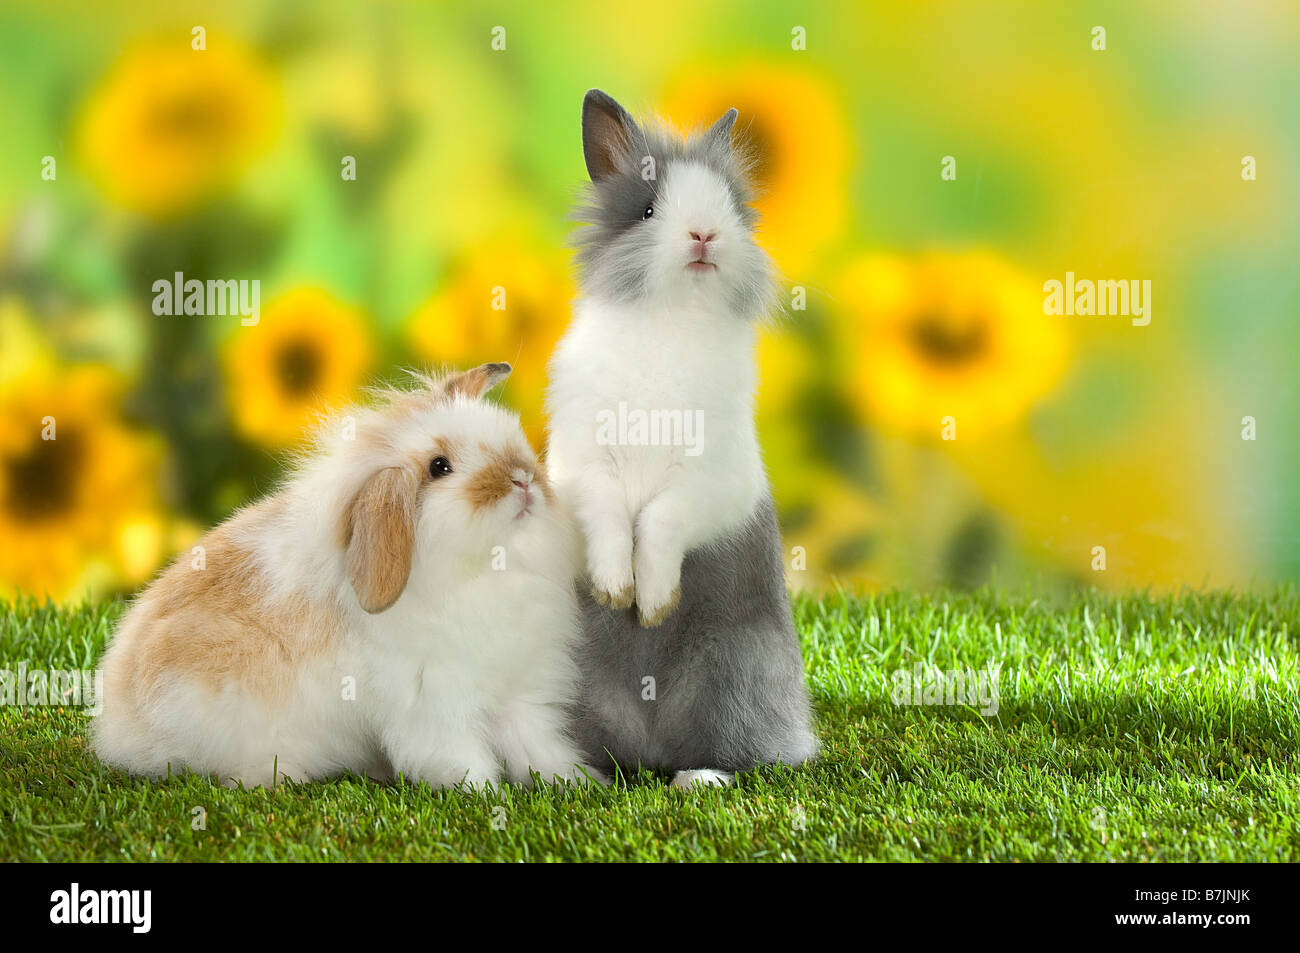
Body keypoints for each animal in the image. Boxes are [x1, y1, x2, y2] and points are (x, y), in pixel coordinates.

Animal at [93, 363, 601, 790]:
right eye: (439, 468)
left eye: (510, 436)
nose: (522, 479)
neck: (485, 570)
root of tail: (118, 727)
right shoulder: (433, 705)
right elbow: (459, 756)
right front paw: (485, 793)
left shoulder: (519, 694)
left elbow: (537, 746)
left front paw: (576, 782)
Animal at [545, 90, 818, 789]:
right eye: (647, 209)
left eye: (730, 205)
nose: (704, 234)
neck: (672, 322)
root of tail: (649, 743)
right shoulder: (583, 470)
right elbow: (612, 517)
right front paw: (618, 590)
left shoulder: (711, 482)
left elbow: (662, 521)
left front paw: (652, 601)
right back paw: (577, 776)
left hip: (736, 676)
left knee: (735, 751)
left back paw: (700, 779)